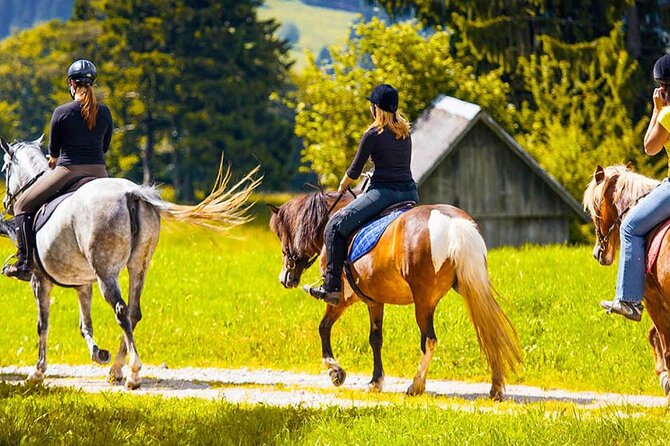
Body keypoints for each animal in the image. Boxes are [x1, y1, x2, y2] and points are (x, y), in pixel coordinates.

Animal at [0, 136, 259, 389]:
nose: (6, 204)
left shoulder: (39, 281)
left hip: (106, 273)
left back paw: (133, 373)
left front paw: (37, 373)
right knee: (133, 312)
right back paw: (116, 369)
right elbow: (85, 324)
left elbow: (43, 326)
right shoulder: (83, 284)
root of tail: (131, 193)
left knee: (121, 310)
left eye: (5, 169)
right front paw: (97, 353)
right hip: (138, 267)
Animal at [268, 191, 522, 399]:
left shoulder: (340, 300)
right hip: (471, 288)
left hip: (424, 301)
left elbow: (323, 328)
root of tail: (453, 223)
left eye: (281, 234)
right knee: (490, 331)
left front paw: (335, 371)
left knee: (429, 340)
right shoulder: (375, 301)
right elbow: (375, 339)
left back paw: (416, 386)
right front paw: (375, 381)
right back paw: (495, 388)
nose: (284, 278)